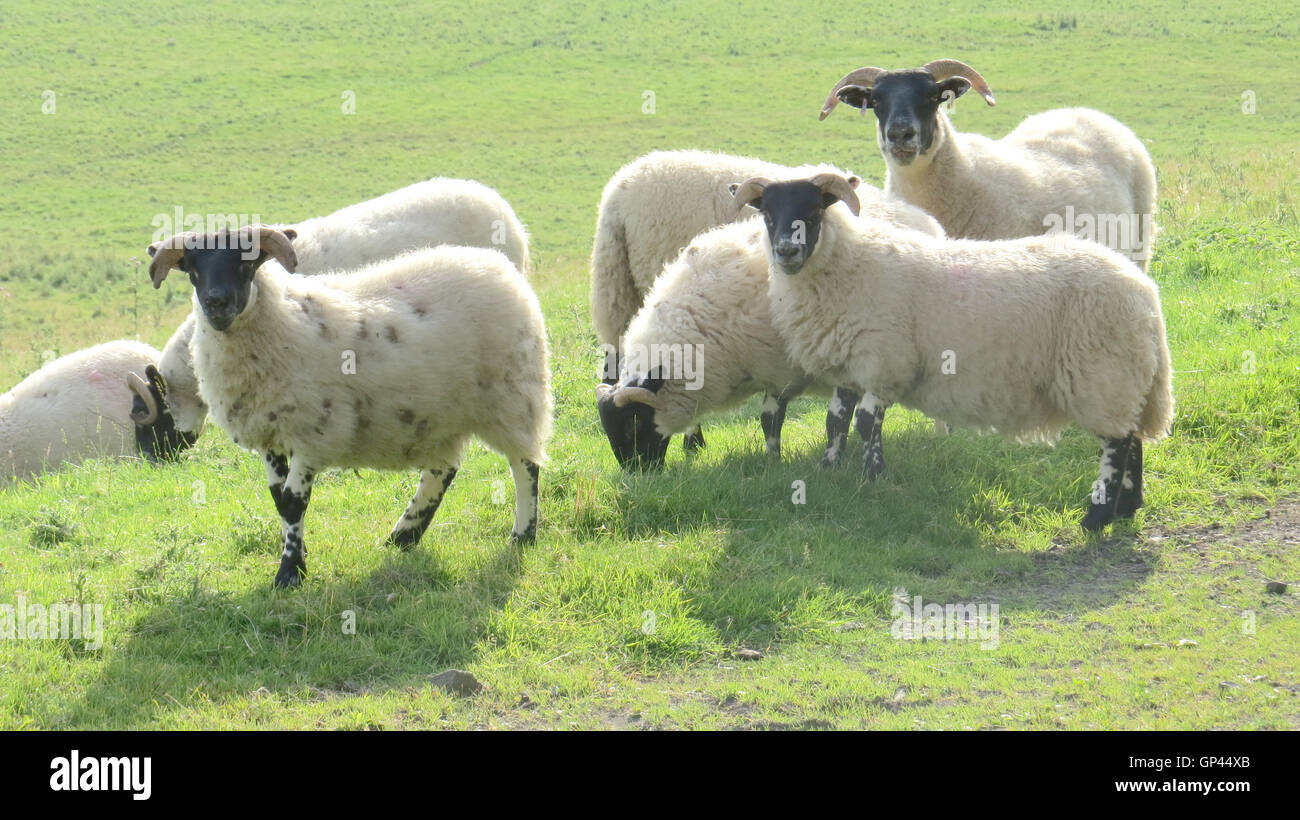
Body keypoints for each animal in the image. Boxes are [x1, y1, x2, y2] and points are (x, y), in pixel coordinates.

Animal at [147, 225, 552, 588]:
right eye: (193, 269)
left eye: (246, 264)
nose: (216, 303)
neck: (279, 322)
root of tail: (498, 266)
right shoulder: (270, 432)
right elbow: (278, 500)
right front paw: (299, 556)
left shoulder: (315, 431)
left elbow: (293, 502)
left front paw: (290, 573)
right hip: (441, 412)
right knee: (442, 471)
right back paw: (403, 536)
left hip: (513, 396)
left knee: (525, 465)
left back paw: (523, 534)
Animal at [731, 173, 1173, 531]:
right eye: (767, 214)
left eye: (813, 210)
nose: (786, 251)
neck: (849, 264)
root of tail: (1144, 292)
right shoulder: (850, 366)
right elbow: (835, 422)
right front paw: (829, 470)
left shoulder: (885, 361)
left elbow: (866, 424)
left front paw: (874, 478)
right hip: (1125, 378)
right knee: (1133, 438)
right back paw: (1127, 508)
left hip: (1103, 374)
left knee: (1116, 445)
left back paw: (1096, 518)